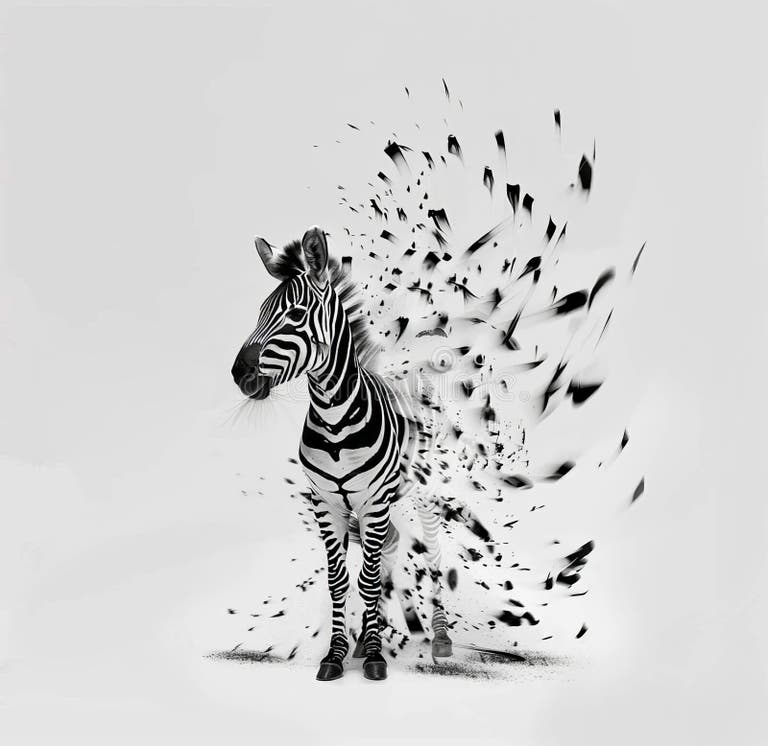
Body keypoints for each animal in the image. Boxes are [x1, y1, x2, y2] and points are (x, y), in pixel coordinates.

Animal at [231, 227, 455, 681]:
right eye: (260, 311)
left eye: (296, 314)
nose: (239, 373)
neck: (335, 421)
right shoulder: (327, 503)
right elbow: (341, 581)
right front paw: (339, 652)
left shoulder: (372, 501)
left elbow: (366, 579)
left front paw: (374, 656)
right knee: (390, 549)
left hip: (422, 492)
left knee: (433, 551)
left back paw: (438, 635)